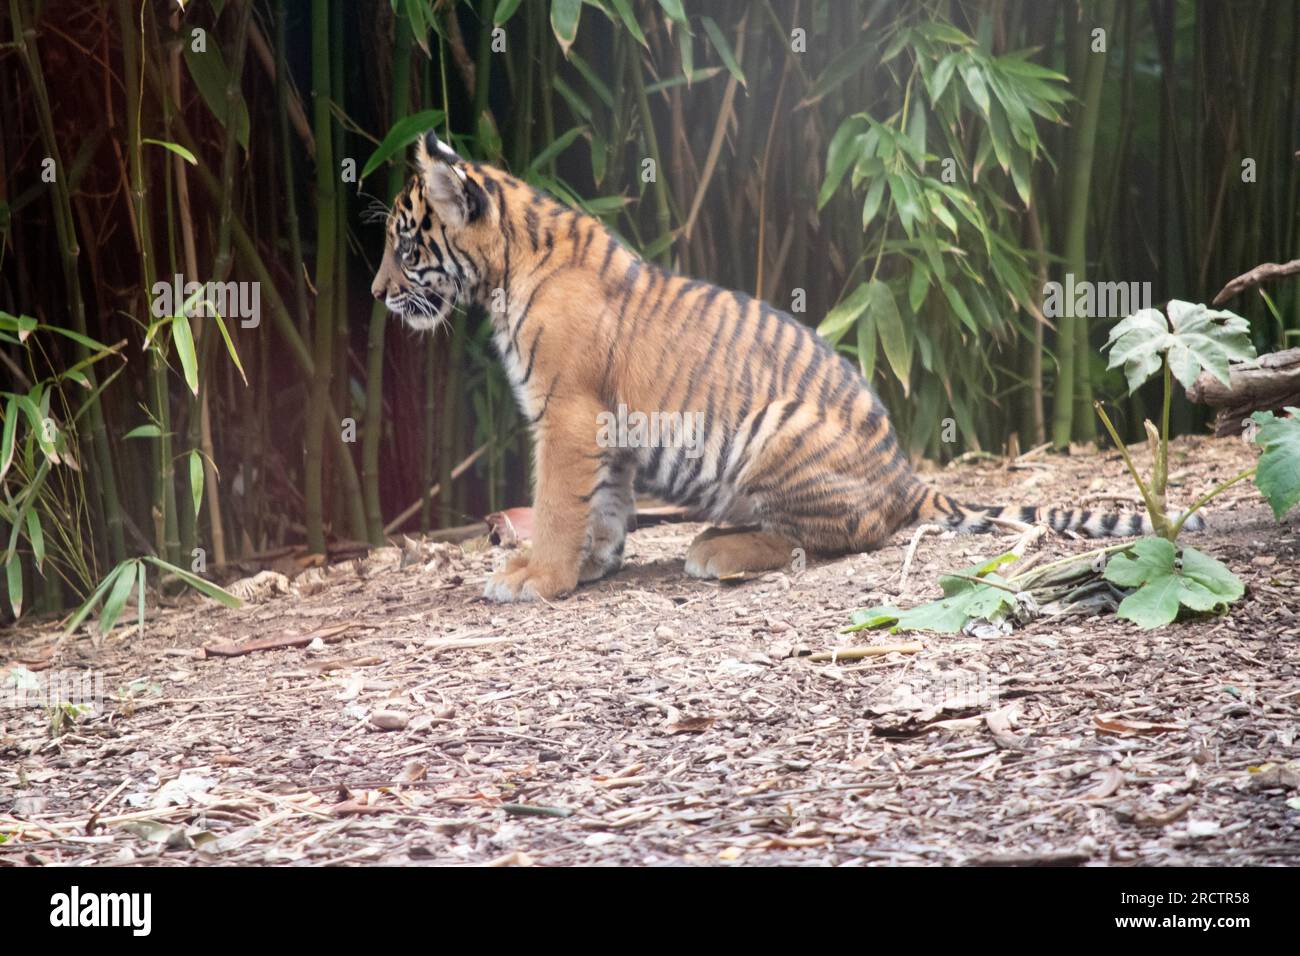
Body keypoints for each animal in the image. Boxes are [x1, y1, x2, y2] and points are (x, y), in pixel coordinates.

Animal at [370, 130, 1203, 602]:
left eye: (405, 246)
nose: (377, 293)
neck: (503, 269)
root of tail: (908, 475)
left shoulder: (568, 414)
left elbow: (554, 503)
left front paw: (537, 577)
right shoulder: (604, 429)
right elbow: (603, 502)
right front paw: (593, 564)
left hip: (778, 430)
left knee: (833, 537)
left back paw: (714, 550)